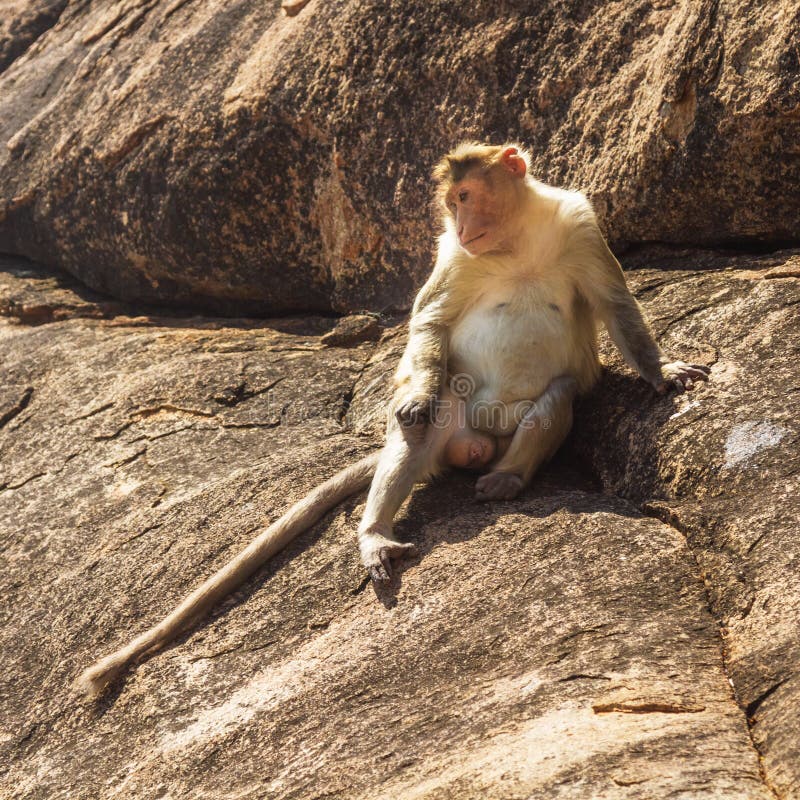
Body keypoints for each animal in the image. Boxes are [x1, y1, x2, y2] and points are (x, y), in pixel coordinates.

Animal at [75, 142, 708, 697]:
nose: (463, 221)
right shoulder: (454, 257)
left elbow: (617, 310)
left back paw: (507, 479)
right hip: (454, 424)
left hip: (507, 429)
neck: (514, 244)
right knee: (422, 421)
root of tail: (477, 447)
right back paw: (377, 530)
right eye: (452, 203)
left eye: (468, 194)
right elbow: (430, 325)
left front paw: (663, 371)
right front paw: (415, 390)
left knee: (557, 396)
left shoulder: (578, 226)